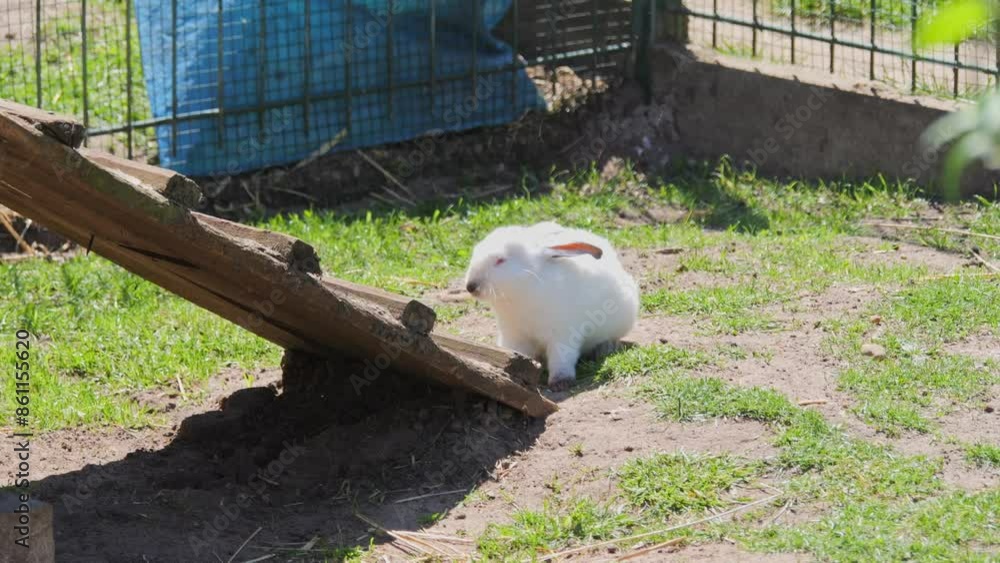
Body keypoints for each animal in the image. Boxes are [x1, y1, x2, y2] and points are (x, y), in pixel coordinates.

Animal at [464, 221, 640, 391]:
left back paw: (605, 348)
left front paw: (560, 383)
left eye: (500, 260)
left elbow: (561, 359)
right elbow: (514, 355)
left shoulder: (564, 335)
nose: (471, 286)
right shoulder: (513, 337)